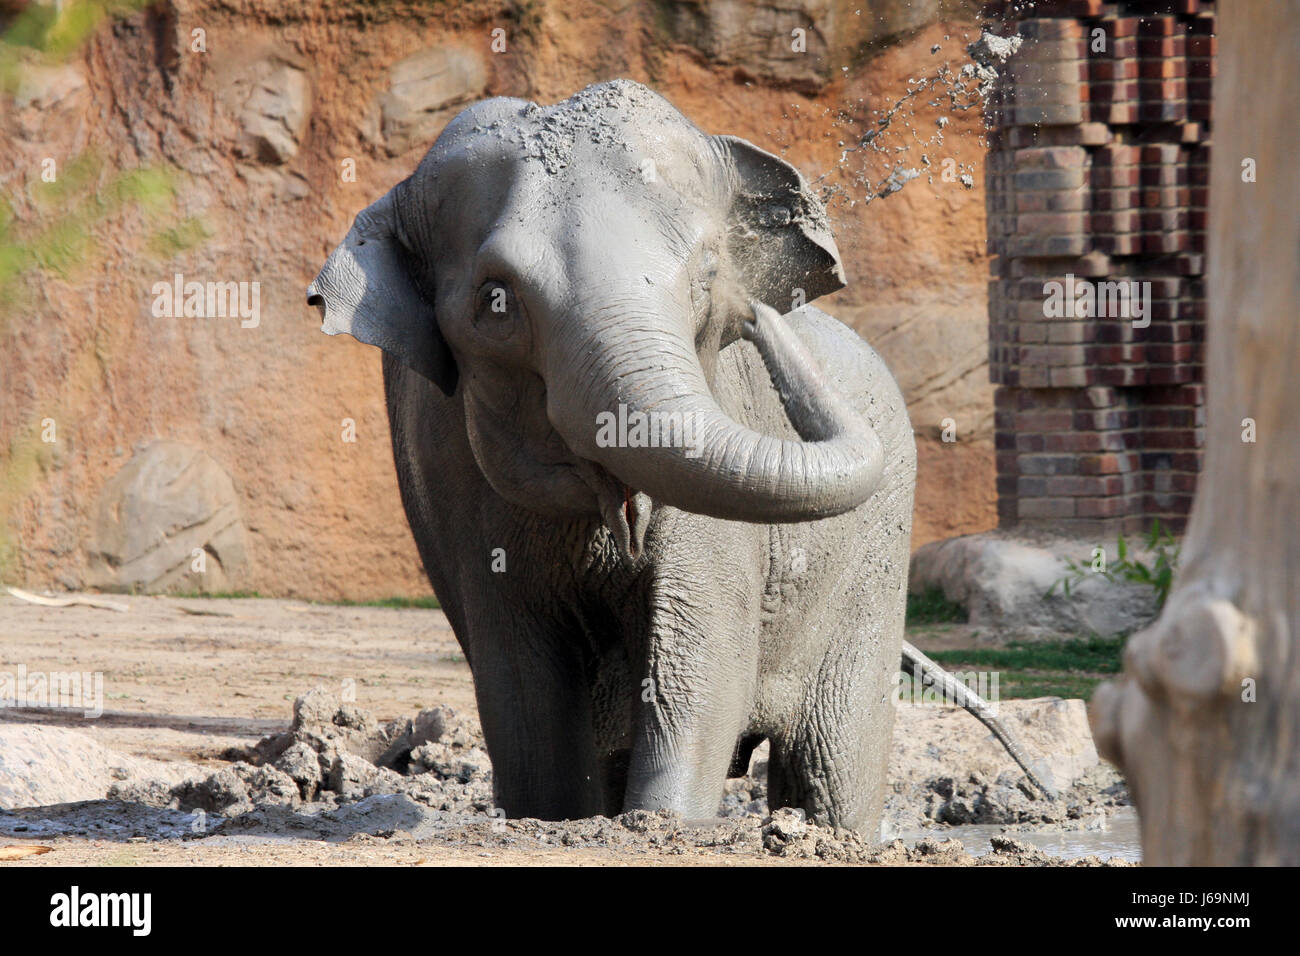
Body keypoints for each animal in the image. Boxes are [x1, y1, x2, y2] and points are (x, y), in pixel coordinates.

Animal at [308, 79, 918, 832]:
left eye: (709, 274)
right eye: (495, 301)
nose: (759, 316)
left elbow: (702, 664)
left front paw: (663, 825)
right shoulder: (449, 476)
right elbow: (521, 688)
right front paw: (557, 824)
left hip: (871, 579)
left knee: (832, 762)